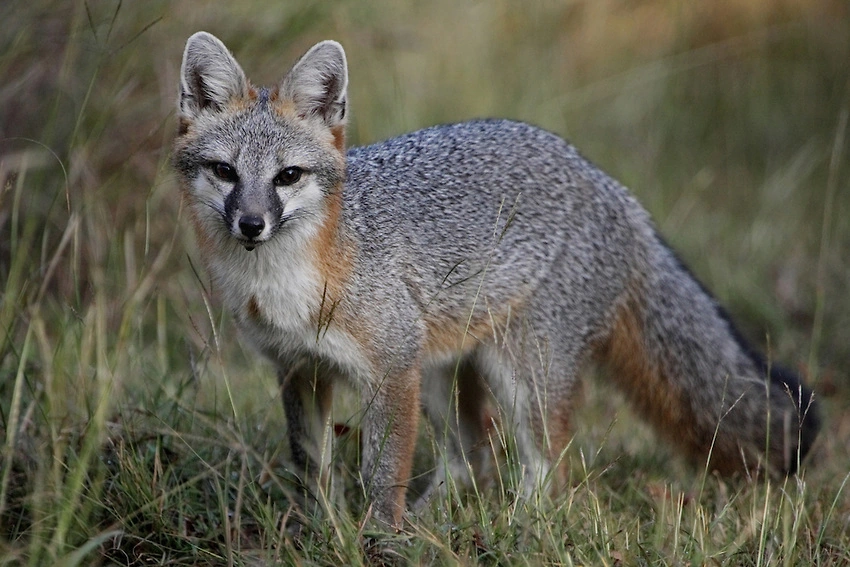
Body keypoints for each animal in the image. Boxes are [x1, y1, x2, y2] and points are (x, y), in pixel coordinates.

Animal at [172, 32, 819, 528]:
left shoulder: (391, 369)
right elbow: (312, 470)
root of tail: (612, 188)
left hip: (521, 374)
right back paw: (432, 528)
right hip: (442, 375)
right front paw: (319, 533)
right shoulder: (299, 370)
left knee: (549, 470)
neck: (287, 284)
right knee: (471, 463)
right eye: (225, 172)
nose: (251, 223)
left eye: (287, 176)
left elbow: (382, 479)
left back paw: (517, 529)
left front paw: (376, 541)